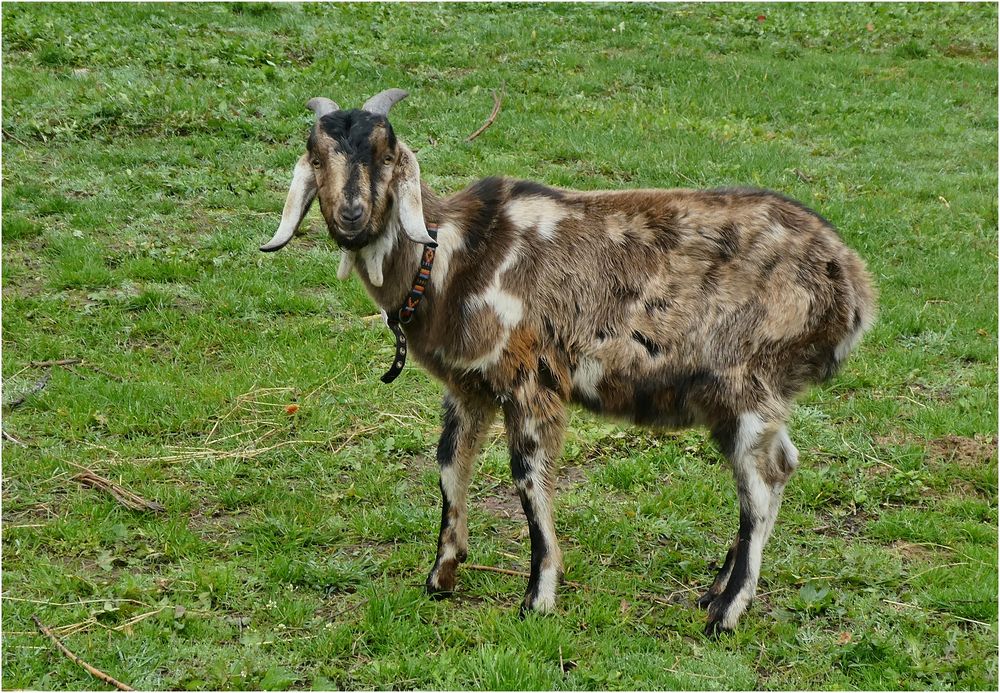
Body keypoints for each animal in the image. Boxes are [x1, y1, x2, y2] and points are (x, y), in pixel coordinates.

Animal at [259, 89, 877, 636]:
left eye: (387, 152)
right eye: (317, 154)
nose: (352, 215)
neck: (455, 255)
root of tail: (852, 284)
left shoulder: (531, 380)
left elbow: (529, 480)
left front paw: (538, 598)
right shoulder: (468, 386)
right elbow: (450, 466)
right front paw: (441, 575)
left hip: (745, 384)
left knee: (762, 484)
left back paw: (726, 614)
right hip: (750, 399)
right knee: (782, 467)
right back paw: (714, 592)